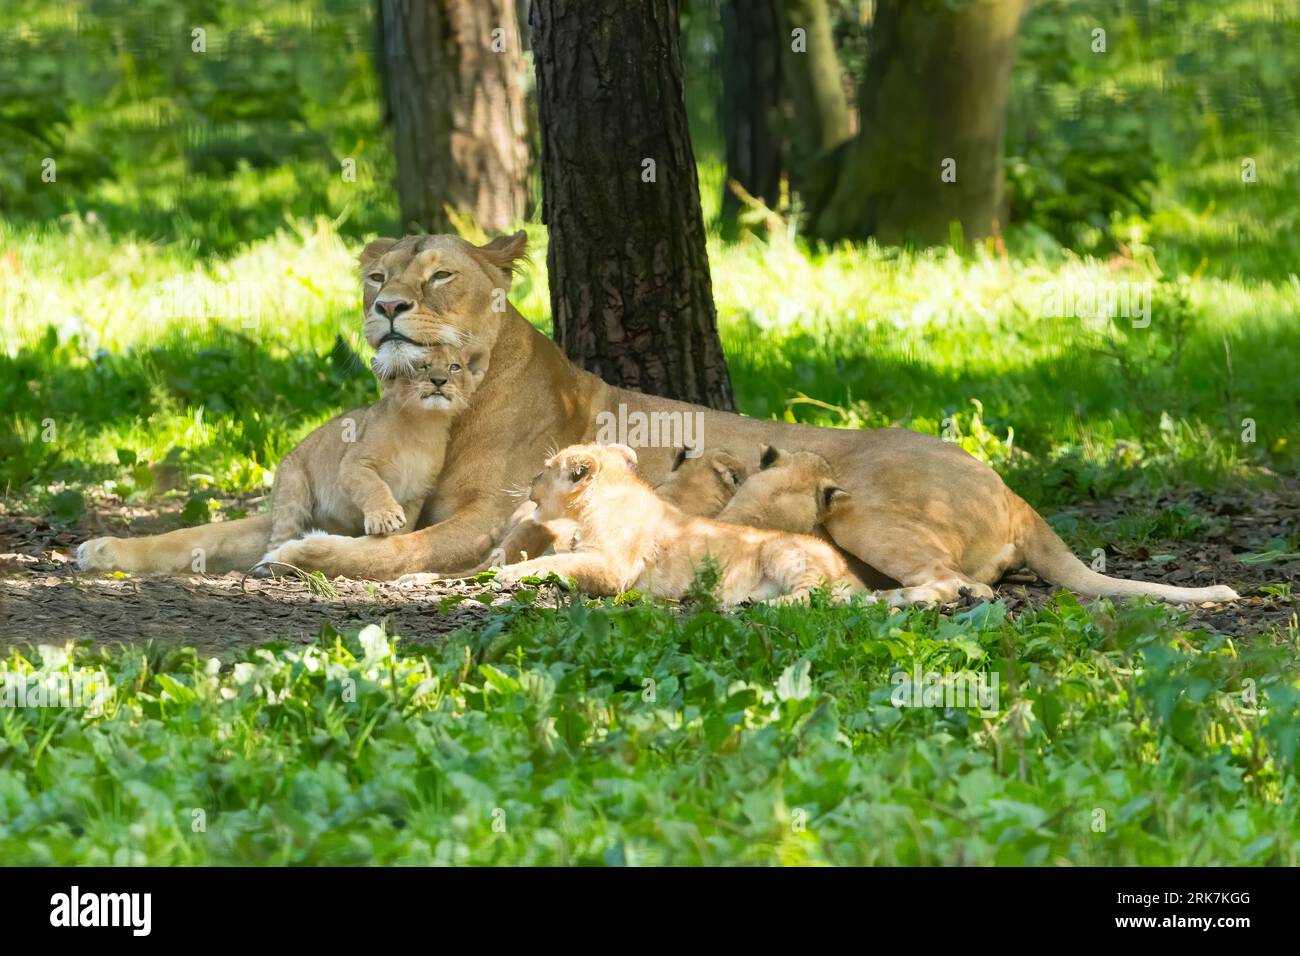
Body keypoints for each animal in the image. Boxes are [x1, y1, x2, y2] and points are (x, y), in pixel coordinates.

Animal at [78, 231, 1239, 607]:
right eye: (375, 272)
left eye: (439, 274)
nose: (386, 308)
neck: (449, 395)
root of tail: (1014, 489)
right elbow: (209, 530)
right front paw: (106, 549)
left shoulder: (475, 517)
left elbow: (377, 549)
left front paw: (311, 558)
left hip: (859, 505)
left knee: (958, 584)